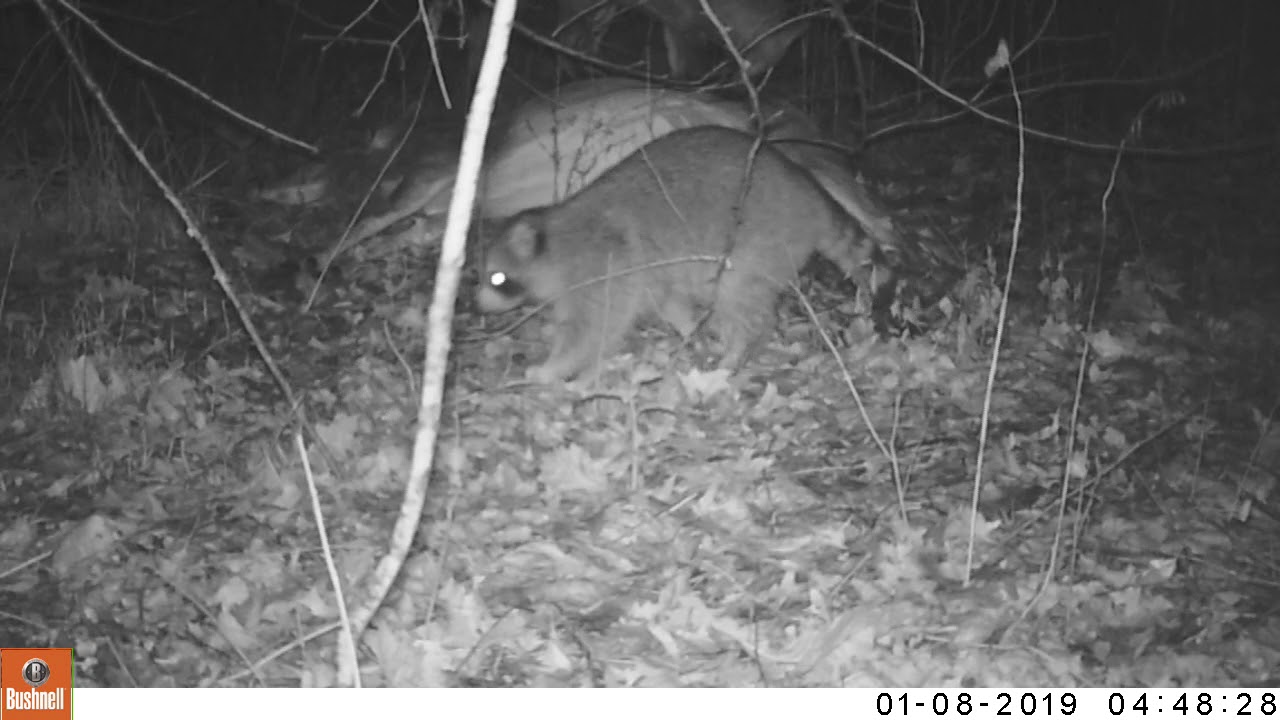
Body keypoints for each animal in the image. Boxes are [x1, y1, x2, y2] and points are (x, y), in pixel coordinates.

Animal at [475, 126, 896, 384]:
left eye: (498, 277)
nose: (476, 305)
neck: (556, 238)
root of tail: (806, 187)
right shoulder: (646, 272)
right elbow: (665, 302)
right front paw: (690, 328)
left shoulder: (602, 268)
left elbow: (595, 328)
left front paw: (556, 368)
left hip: (758, 241)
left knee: (739, 298)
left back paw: (738, 349)